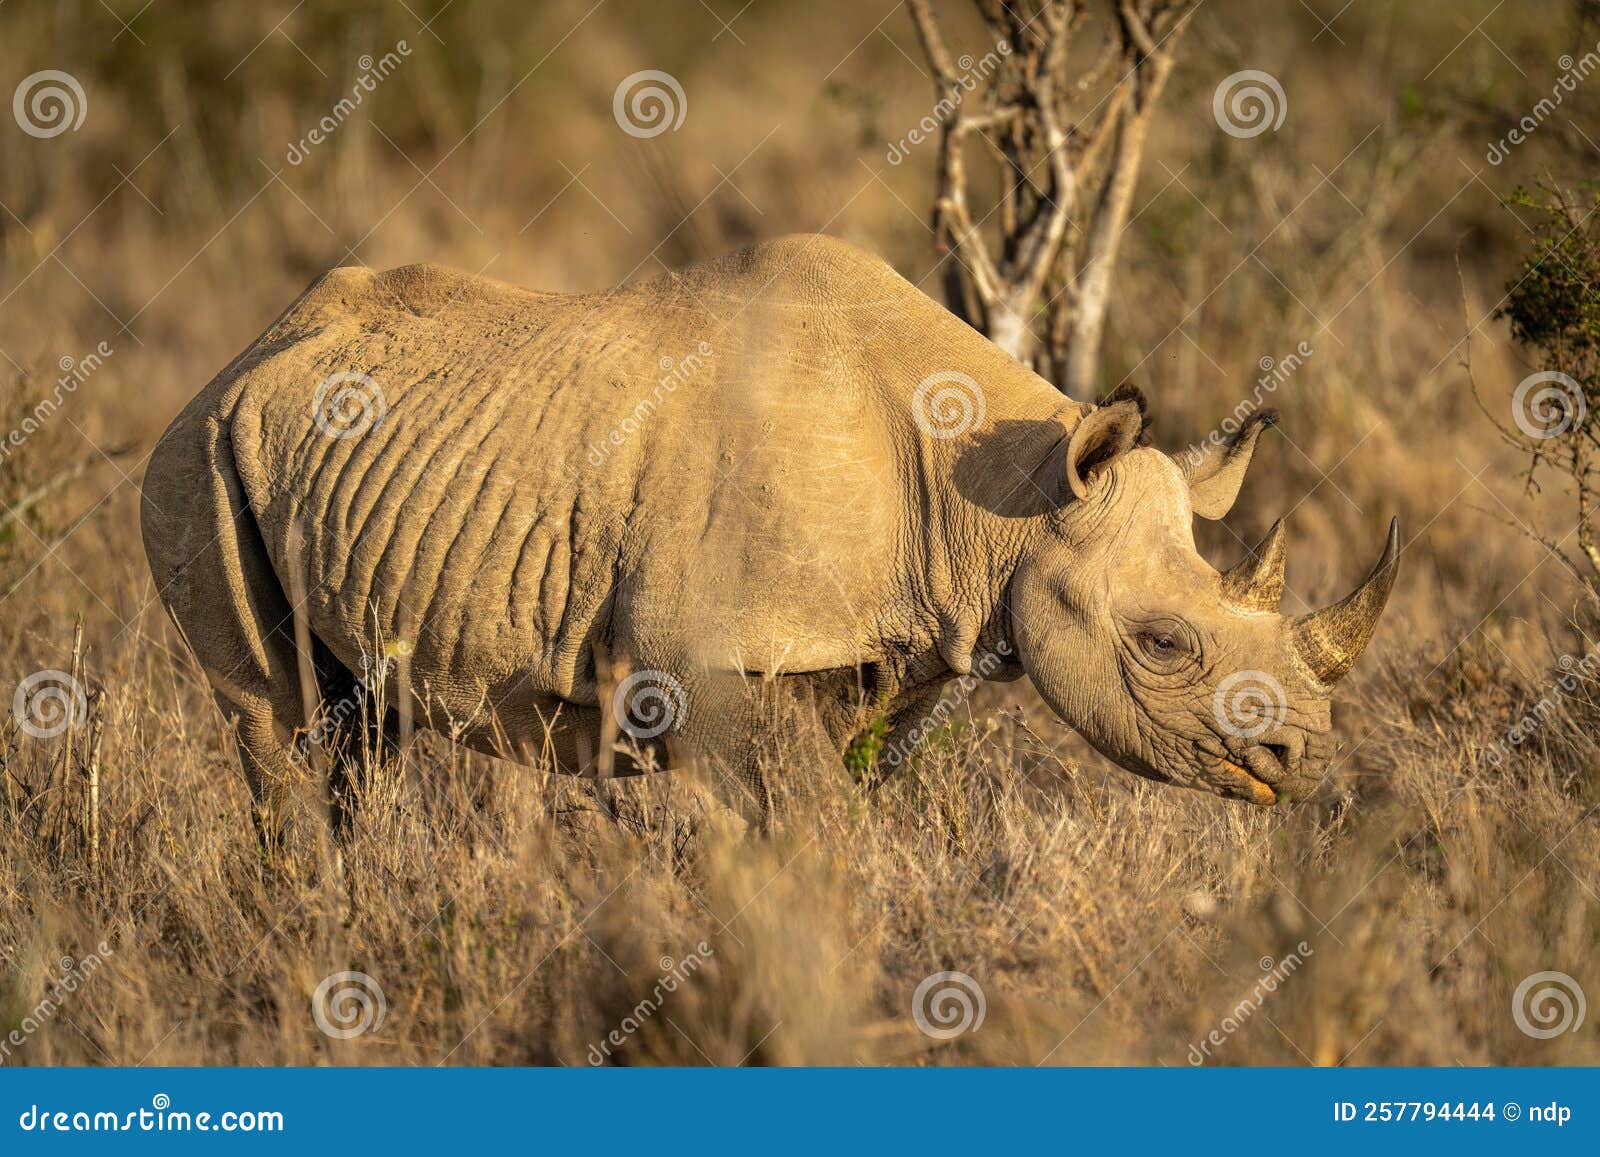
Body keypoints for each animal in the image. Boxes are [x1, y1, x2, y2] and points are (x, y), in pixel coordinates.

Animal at [140, 233, 1397, 835]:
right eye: (1163, 642)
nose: (1297, 761)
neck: (1005, 501)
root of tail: (253, 345)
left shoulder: (882, 651)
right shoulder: (692, 660)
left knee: (364, 729)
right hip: (196, 448)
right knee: (273, 720)